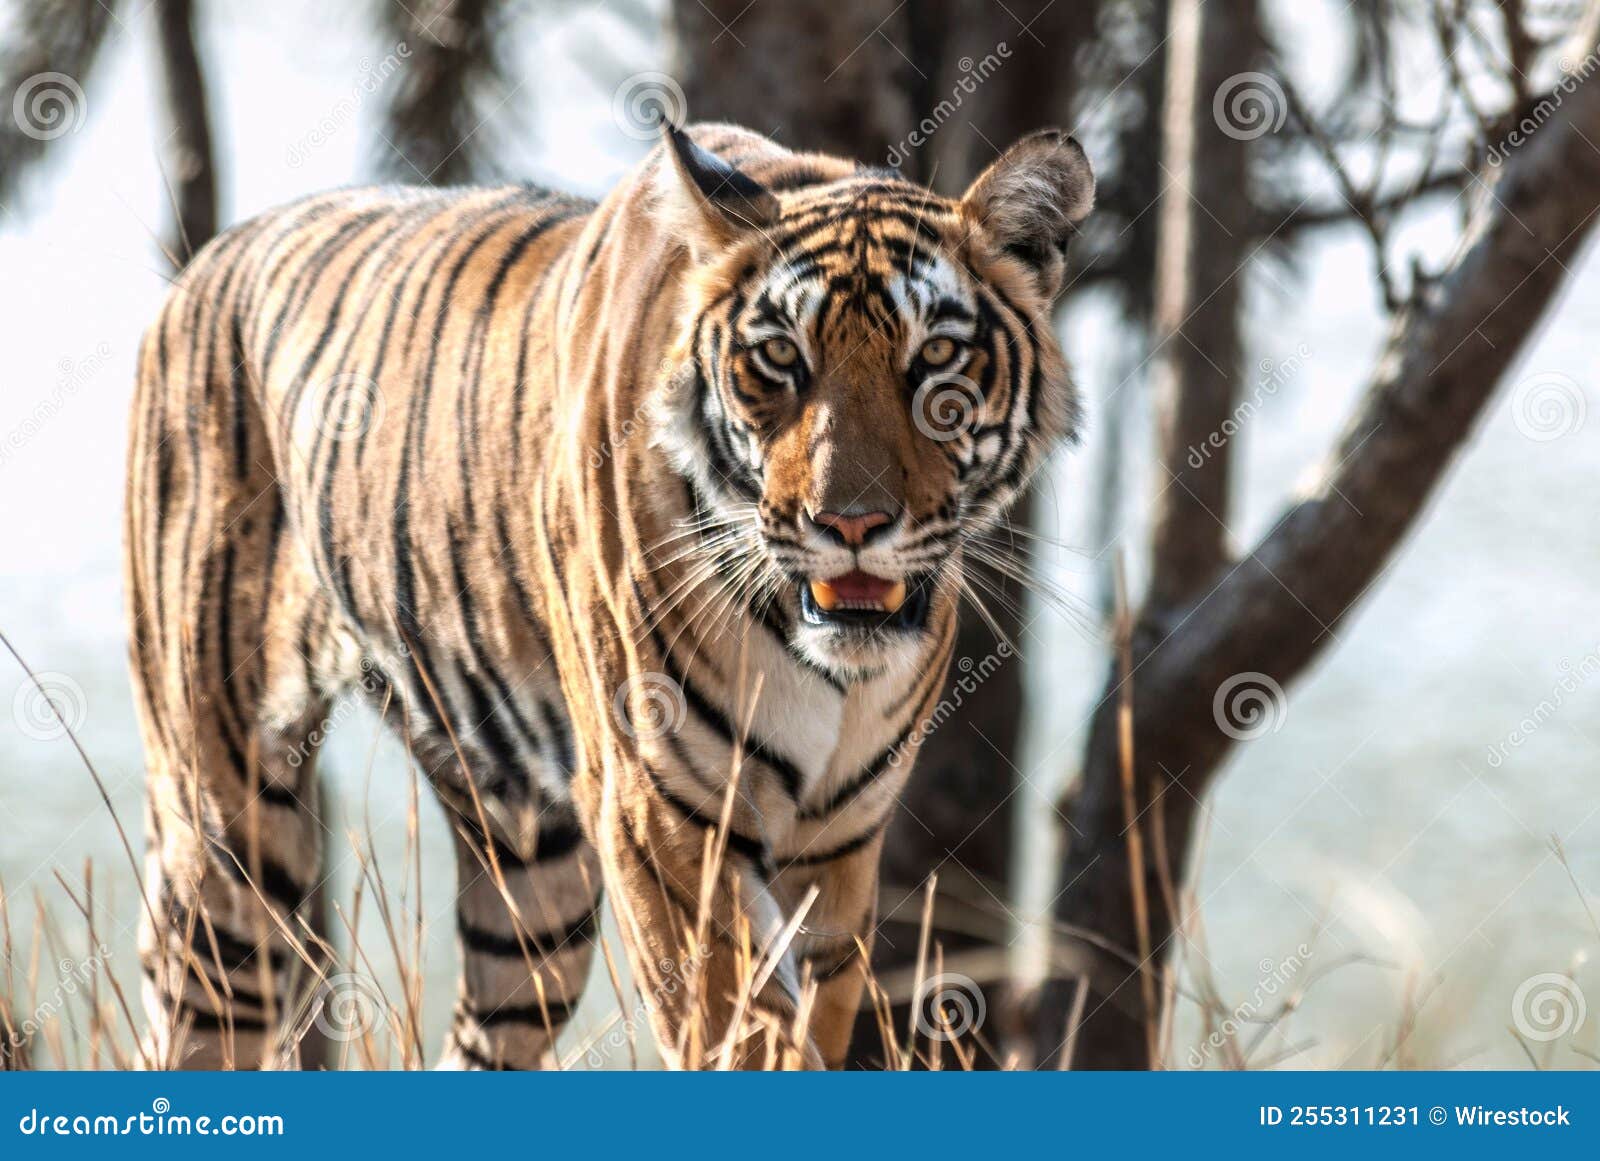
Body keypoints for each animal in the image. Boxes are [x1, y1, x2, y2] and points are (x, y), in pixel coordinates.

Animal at [123, 120, 1094, 1070]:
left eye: (937, 356)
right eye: (780, 357)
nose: (848, 523)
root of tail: (202, 266)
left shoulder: (839, 842)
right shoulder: (661, 816)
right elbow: (749, 1035)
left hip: (530, 884)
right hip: (225, 825)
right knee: (198, 1012)